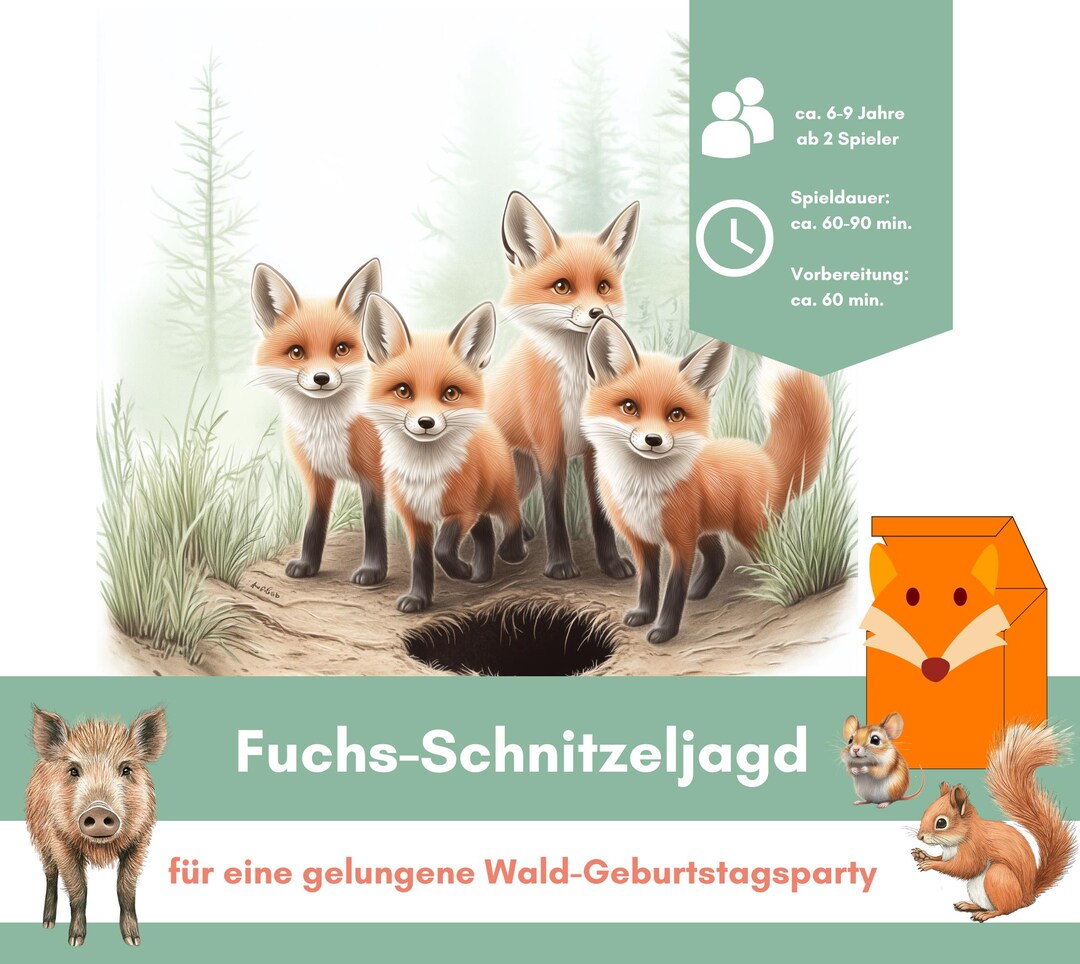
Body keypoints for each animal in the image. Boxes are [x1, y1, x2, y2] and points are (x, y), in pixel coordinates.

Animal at [251, 261, 387, 586]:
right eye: (296, 352)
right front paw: (307, 564)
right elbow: (314, 523)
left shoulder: (374, 476)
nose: (322, 378)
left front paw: (373, 571)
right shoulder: (317, 476)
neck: (325, 430)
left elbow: (374, 524)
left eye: (341, 349)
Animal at [361, 294, 528, 613]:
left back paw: (512, 553)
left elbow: (443, 549)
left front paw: (459, 570)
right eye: (403, 391)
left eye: (450, 393)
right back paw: (481, 573)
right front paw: (419, 598)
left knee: (512, 518)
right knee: (485, 533)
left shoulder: (460, 511)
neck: (425, 472)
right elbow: (423, 559)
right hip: (479, 507)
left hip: (500, 496)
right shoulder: (414, 518)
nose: (426, 423)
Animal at [488, 191, 640, 582]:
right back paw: (510, 548)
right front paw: (559, 566)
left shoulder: (594, 448)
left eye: (603, 286)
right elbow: (555, 511)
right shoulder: (548, 445)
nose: (597, 313)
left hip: (522, 475)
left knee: (508, 508)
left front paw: (612, 563)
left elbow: (600, 515)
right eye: (562, 287)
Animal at [582, 317, 832, 643]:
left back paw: (781, 591)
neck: (643, 488)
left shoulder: (681, 541)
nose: (653, 440)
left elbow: (673, 589)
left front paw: (664, 630)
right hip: (709, 529)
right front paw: (644, 614)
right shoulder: (642, 539)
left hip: (752, 532)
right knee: (718, 557)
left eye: (676, 414)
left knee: (775, 560)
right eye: (629, 407)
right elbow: (648, 583)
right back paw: (699, 591)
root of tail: (766, 460)